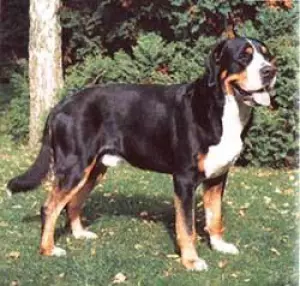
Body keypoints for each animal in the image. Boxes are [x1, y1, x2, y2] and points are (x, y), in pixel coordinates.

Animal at [7, 34, 276, 272]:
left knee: (72, 203)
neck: (223, 110)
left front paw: (219, 246)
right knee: (49, 207)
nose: (270, 71)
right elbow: (186, 227)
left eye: (267, 55)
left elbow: (215, 217)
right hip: (75, 166)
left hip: (93, 169)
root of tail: (61, 104)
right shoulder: (185, 179)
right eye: (244, 57)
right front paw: (191, 261)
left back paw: (80, 234)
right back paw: (48, 249)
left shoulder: (218, 177)